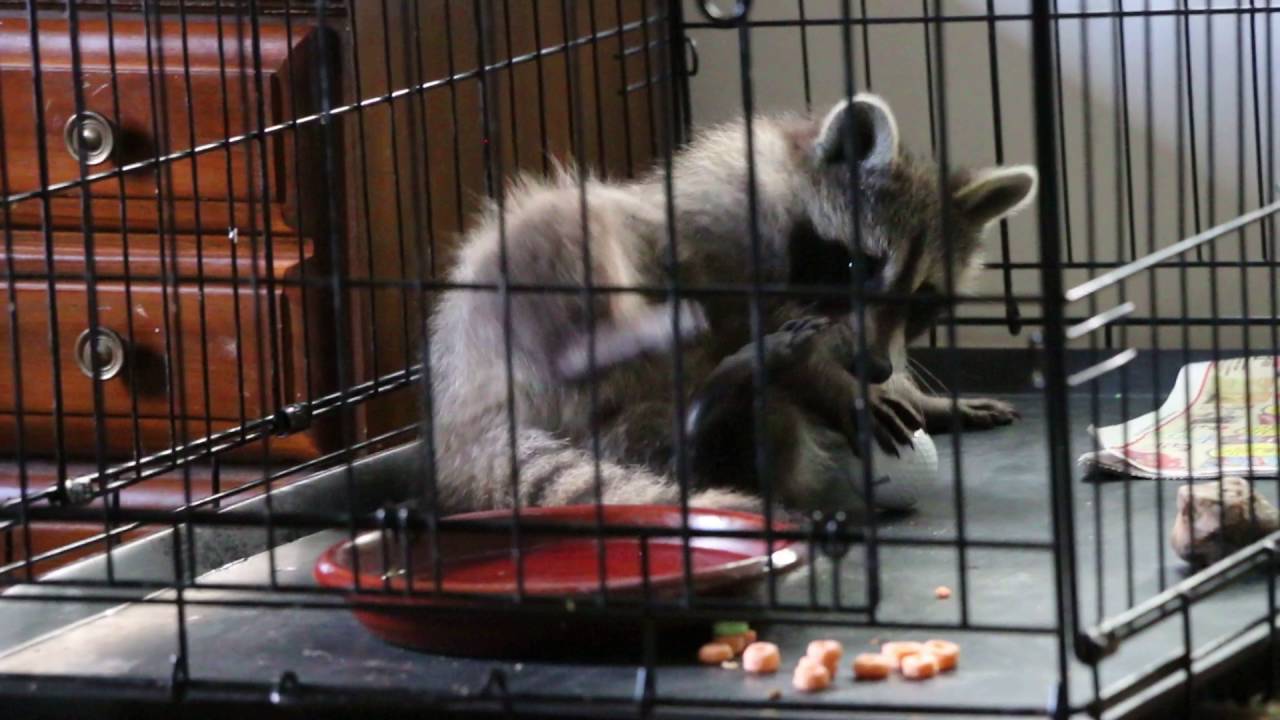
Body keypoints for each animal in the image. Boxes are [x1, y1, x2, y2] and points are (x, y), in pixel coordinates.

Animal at [424, 94, 1036, 515]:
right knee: (563, 216)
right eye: (858, 265)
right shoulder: (719, 240)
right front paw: (835, 383)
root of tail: (465, 410)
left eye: (922, 302)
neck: (789, 200)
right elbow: (741, 319)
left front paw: (914, 392)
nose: (877, 368)